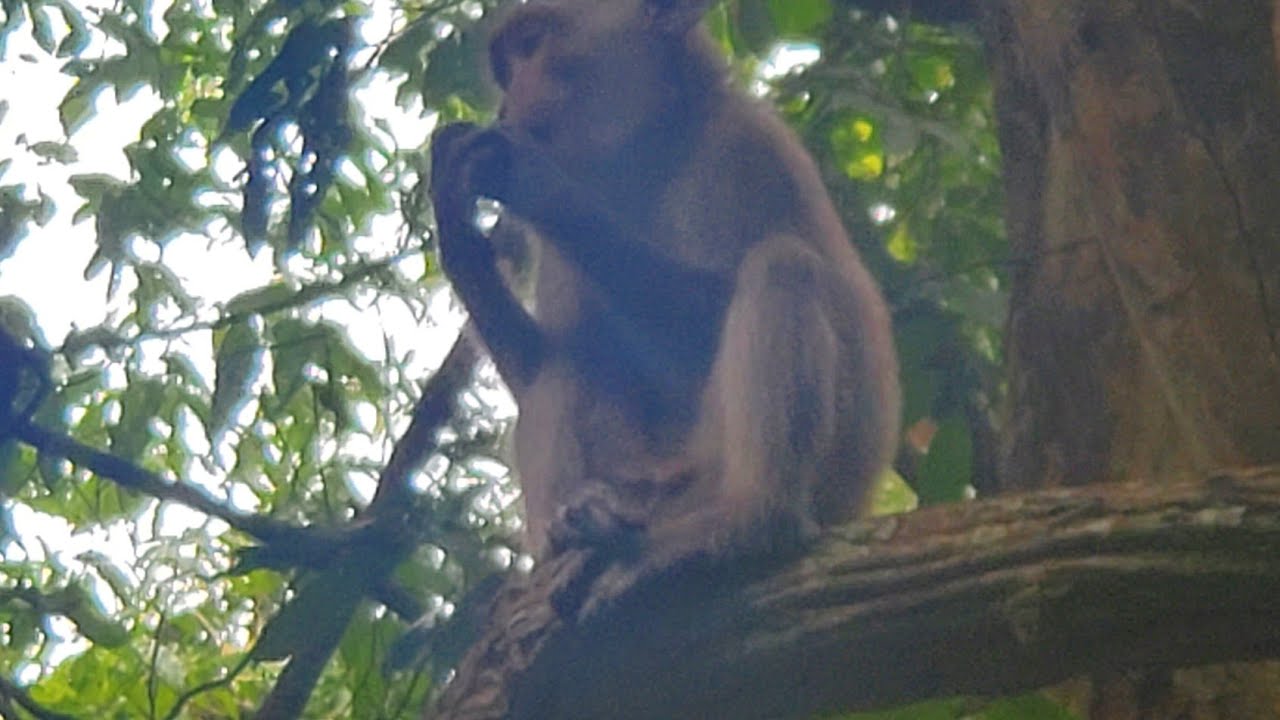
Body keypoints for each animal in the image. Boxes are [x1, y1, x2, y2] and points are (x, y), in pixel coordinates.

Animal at [429, 0, 900, 578]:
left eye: (533, 44)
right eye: (508, 68)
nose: (505, 107)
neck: (652, 151)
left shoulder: (741, 147)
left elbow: (712, 305)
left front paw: (534, 181)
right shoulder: (558, 250)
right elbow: (538, 360)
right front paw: (454, 224)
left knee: (780, 266)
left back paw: (754, 522)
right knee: (567, 361)